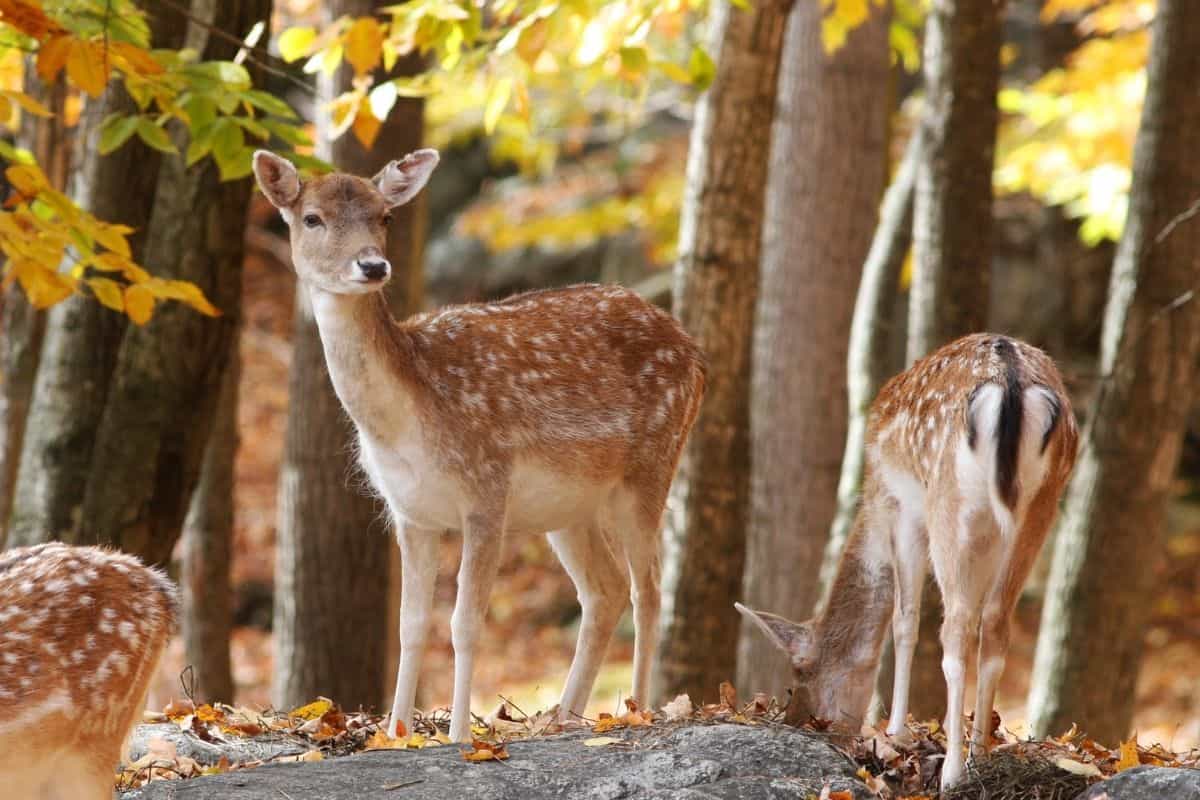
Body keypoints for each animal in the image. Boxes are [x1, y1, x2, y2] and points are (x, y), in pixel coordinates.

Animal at [252, 149, 706, 743]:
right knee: (604, 590)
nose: (372, 266)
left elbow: (464, 623)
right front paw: (396, 733)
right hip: (568, 507)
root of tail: (694, 352)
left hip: (653, 464)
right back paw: (566, 717)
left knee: (647, 592)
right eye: (312, 218)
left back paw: (638, 709)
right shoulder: (409, 511)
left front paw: (460, 737)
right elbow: (411, 625)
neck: (409, 420)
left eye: (384, 216)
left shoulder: (487, 488)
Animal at [737, 334, 1077, 789]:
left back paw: (952, 772)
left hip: (948, 500)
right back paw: (981, 757)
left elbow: (904, 621)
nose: (801, 721)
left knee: (955, 629)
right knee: (994, 624)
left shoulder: (900, 508)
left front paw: (895, 732)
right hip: (1040, 505)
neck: (870, 505)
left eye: (800, 672)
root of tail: (1011, 384)